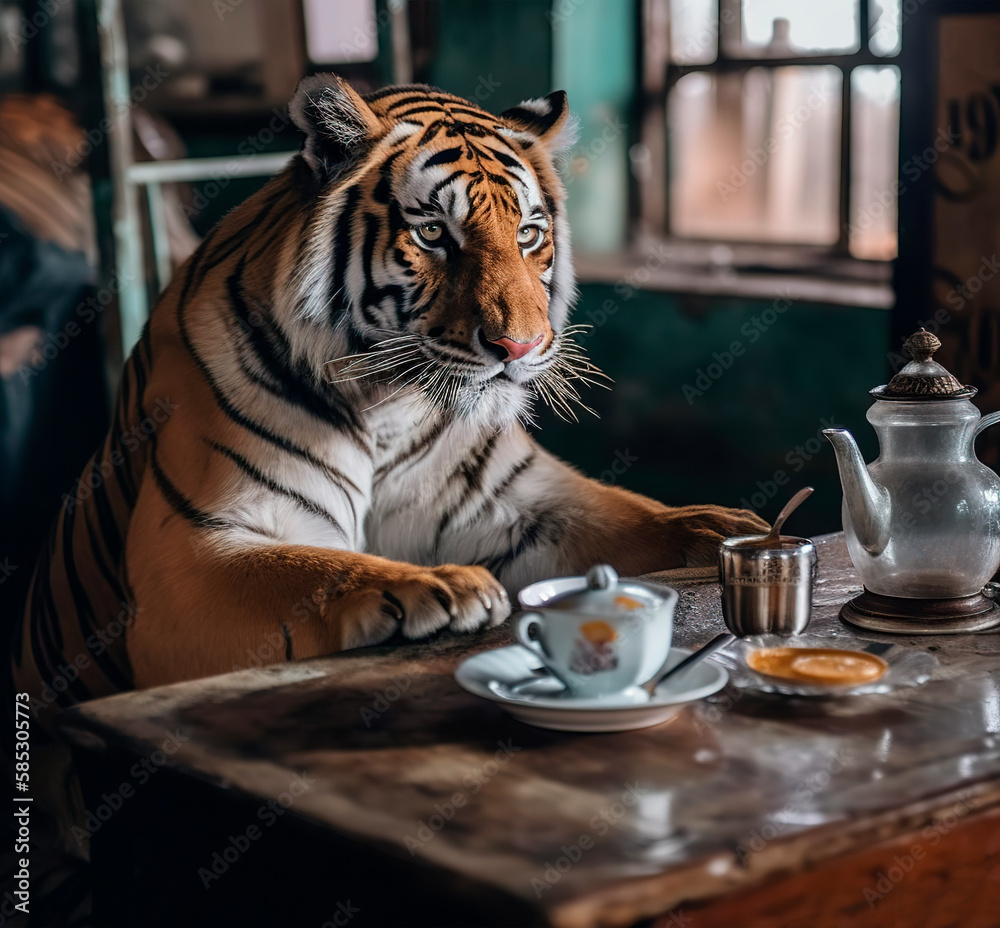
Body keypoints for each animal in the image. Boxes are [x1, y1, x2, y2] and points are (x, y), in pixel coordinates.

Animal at [11, 75, 767, 831]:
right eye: (433, 234)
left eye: (528, 235)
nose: (520, 347)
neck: (390, 406)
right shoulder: (192, 555)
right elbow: (307, 568)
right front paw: (431, 587)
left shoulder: (524, 507)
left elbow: (640, 517)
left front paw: (732, 535)